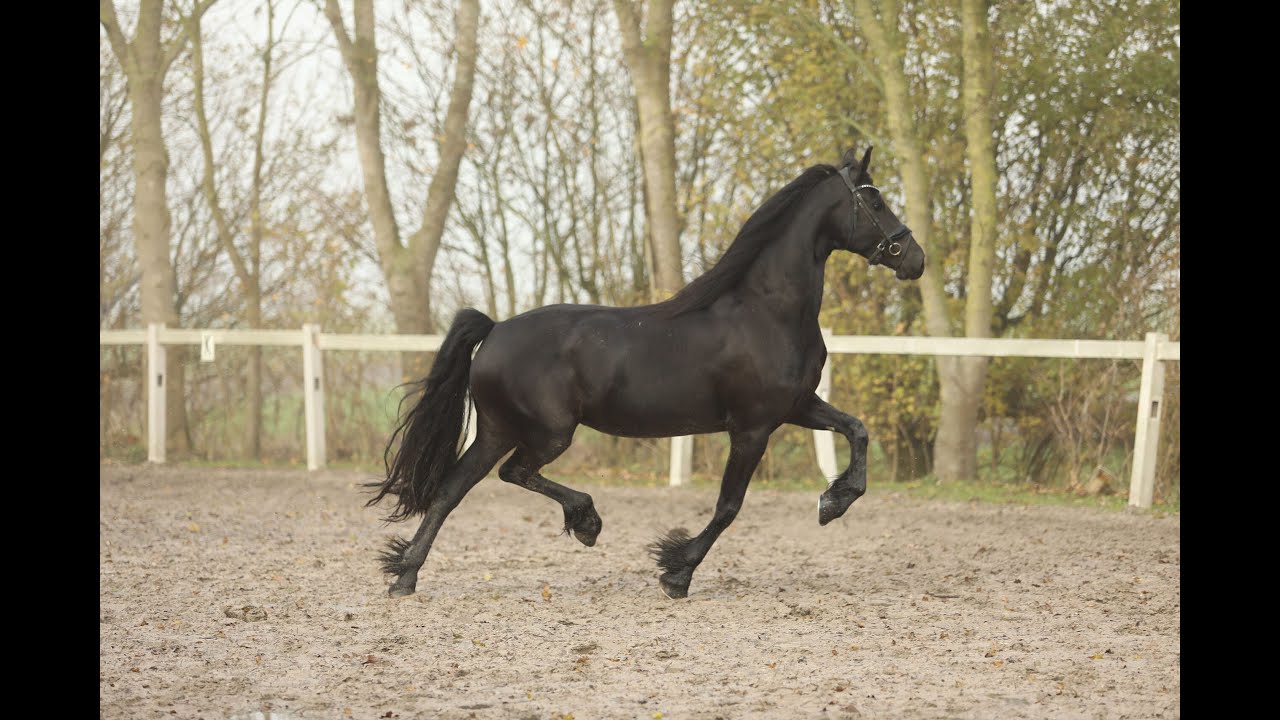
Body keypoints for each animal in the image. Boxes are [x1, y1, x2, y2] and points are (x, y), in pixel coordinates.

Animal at [368, 147, 924, 599]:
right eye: (876, 203)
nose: (914, 258)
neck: (767, 311)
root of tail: (496, 327)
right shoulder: (752, 427)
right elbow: (729, 506)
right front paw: (676, 571)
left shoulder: (796, 407)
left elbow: (857, 429)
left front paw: (833, 502)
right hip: (547, 432)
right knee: (512, 473)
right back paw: (585, 521)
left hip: (497, 429)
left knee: (452, 489)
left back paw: (406, 575)